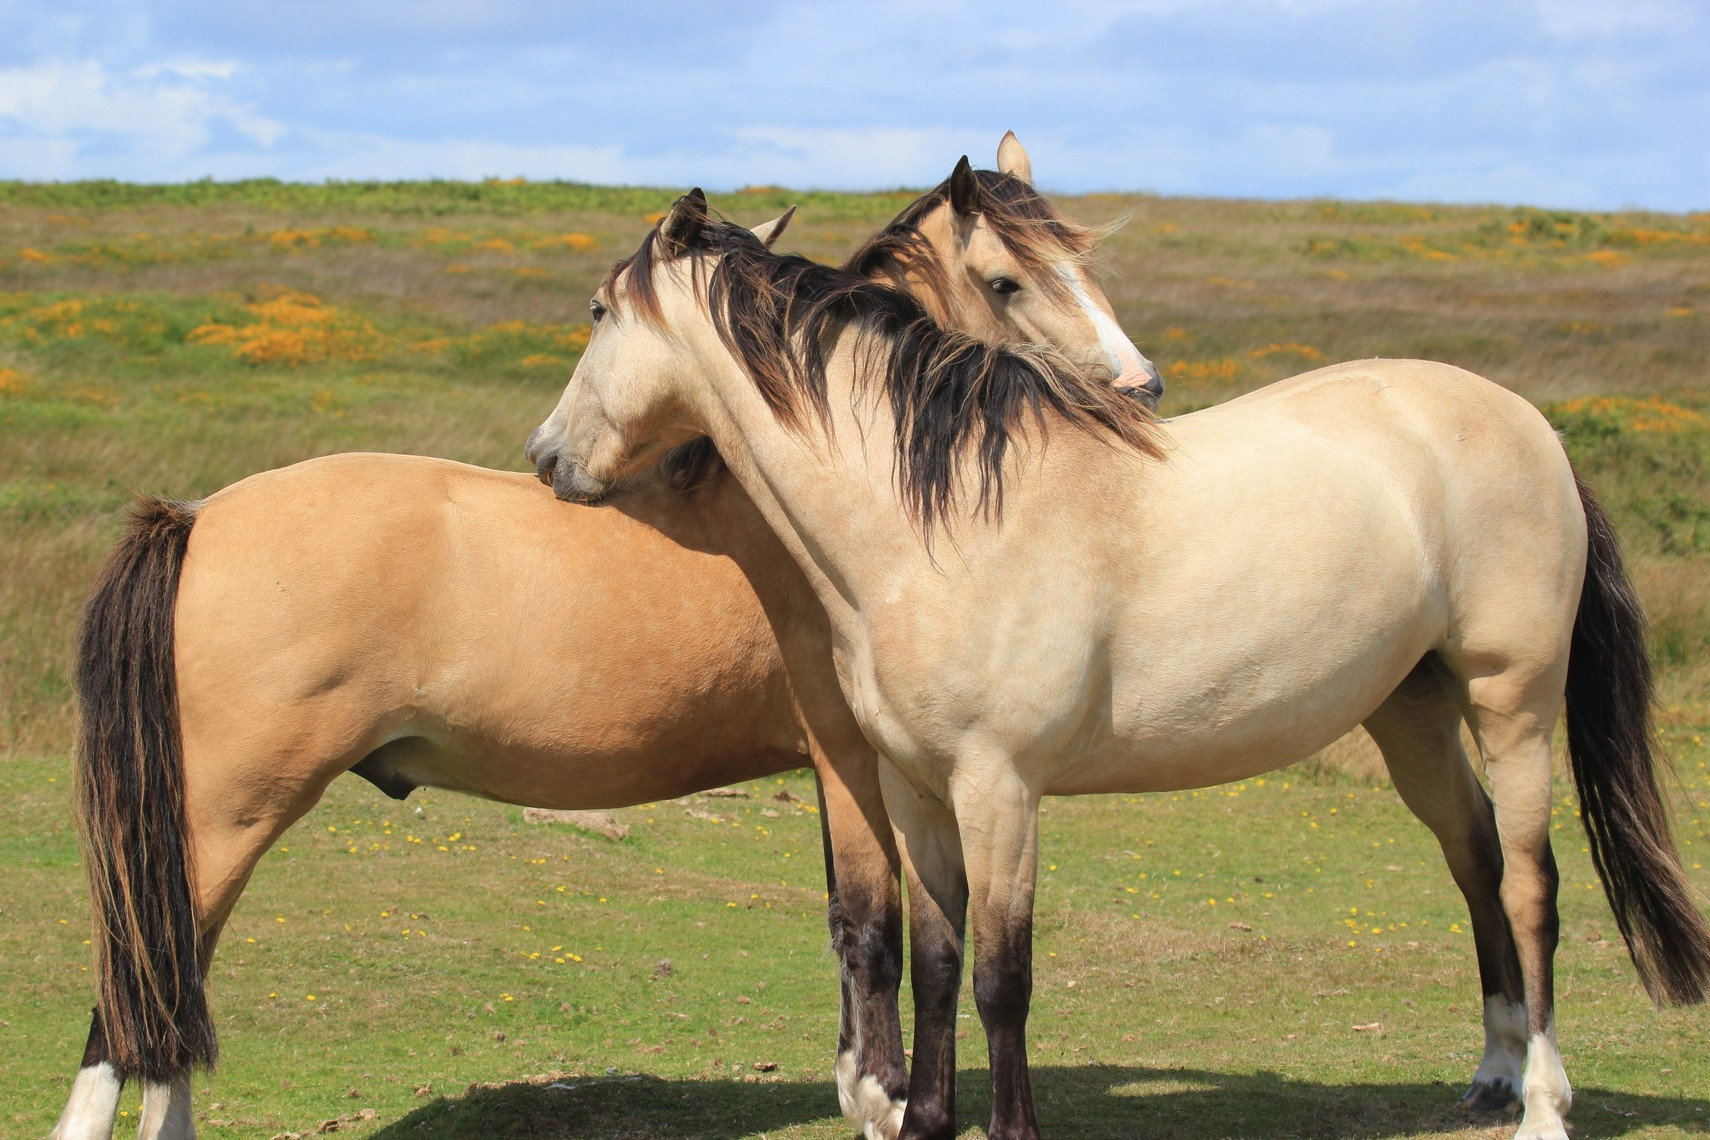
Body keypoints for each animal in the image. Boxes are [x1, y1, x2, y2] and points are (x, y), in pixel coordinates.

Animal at [53, 135, 1163, 1140]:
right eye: (1007, 280)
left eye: (1089, 265)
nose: (1140, 392)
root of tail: (199, 517)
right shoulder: (850, 753)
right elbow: (868, 920)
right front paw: (882, 1095)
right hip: (222, 820)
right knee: (134, 999)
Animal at [524, 190, 1710, 1140]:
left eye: (597, 311)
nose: (546, 458)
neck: (933, 520)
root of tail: (1531, 426)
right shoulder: (913, 790)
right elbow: (938, 960)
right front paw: (922, 1121)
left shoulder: (1001, 789)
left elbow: (1003, 978)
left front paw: (1006, 1130)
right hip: (1411, 713)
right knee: (1474, 859)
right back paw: (1494, 1075)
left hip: (1513, 704)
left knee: (1530, 885)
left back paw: (1545, 1106)